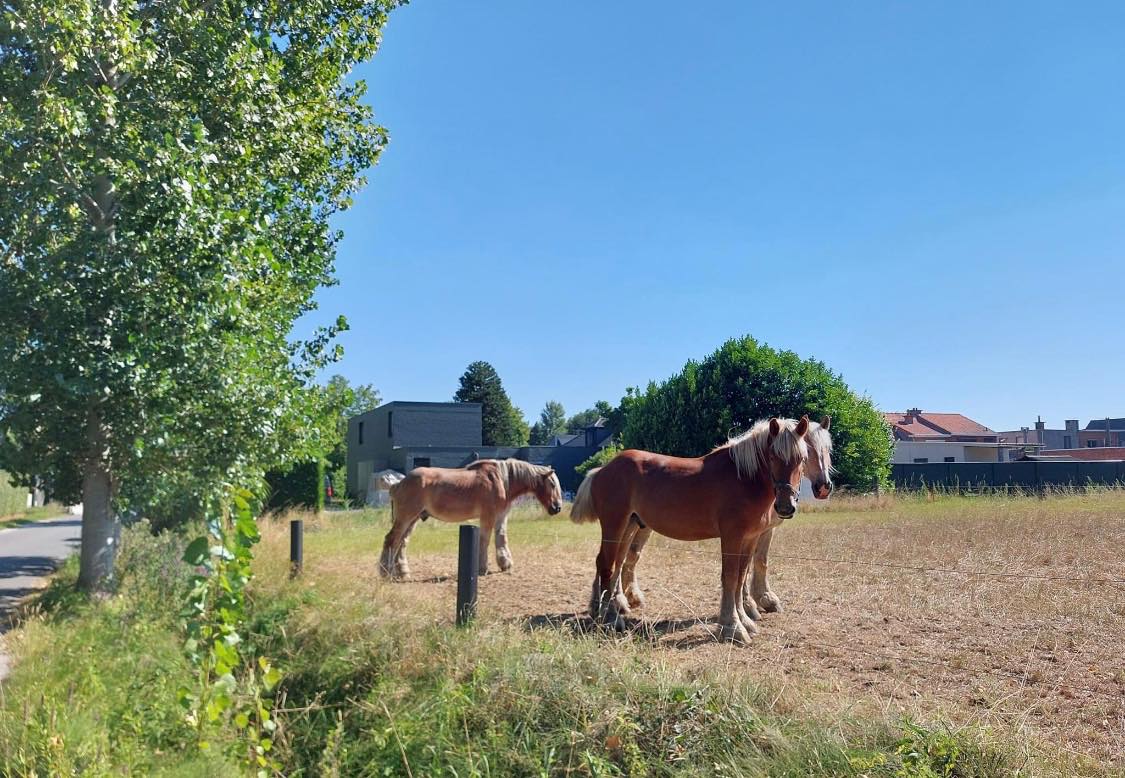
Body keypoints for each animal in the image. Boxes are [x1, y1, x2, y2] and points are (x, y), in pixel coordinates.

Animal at [380, 458, 563, 579]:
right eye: (552, 484)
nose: (557, 508)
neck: (502, 479)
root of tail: (397, 484)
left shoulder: (501, 516)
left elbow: (501, 538)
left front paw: (505, 563)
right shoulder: (488, 516)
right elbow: (485, 540)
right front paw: (482, 568)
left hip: (413, 519)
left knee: (402, 542)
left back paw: (403, 572)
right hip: (406, 517)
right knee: (391, 540)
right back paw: (386, 572)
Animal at [570, 416, 810, 645]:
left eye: (802, 459)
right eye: (772, 457)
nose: (786, 506)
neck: (742, 477)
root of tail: (602, 469)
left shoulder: (749, 538)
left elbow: (741, 577)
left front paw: (744, 620)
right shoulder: (732, 536)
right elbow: (730, 577)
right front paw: (732, 628)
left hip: (629, 526)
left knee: (614, 565)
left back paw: (608, 610)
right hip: (614, 525)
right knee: (607, 565)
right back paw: (610, 619)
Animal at [619, 416, 834, 622]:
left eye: (826, 450)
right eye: (809, 451)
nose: (823, 487)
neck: (745, 478)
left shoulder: (760, 531)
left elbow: (754, 565)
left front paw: (755, 605)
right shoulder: (744, 533)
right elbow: (743, 571)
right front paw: (751, 607)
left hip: (640, 526)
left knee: (629, 557)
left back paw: (631, 599)